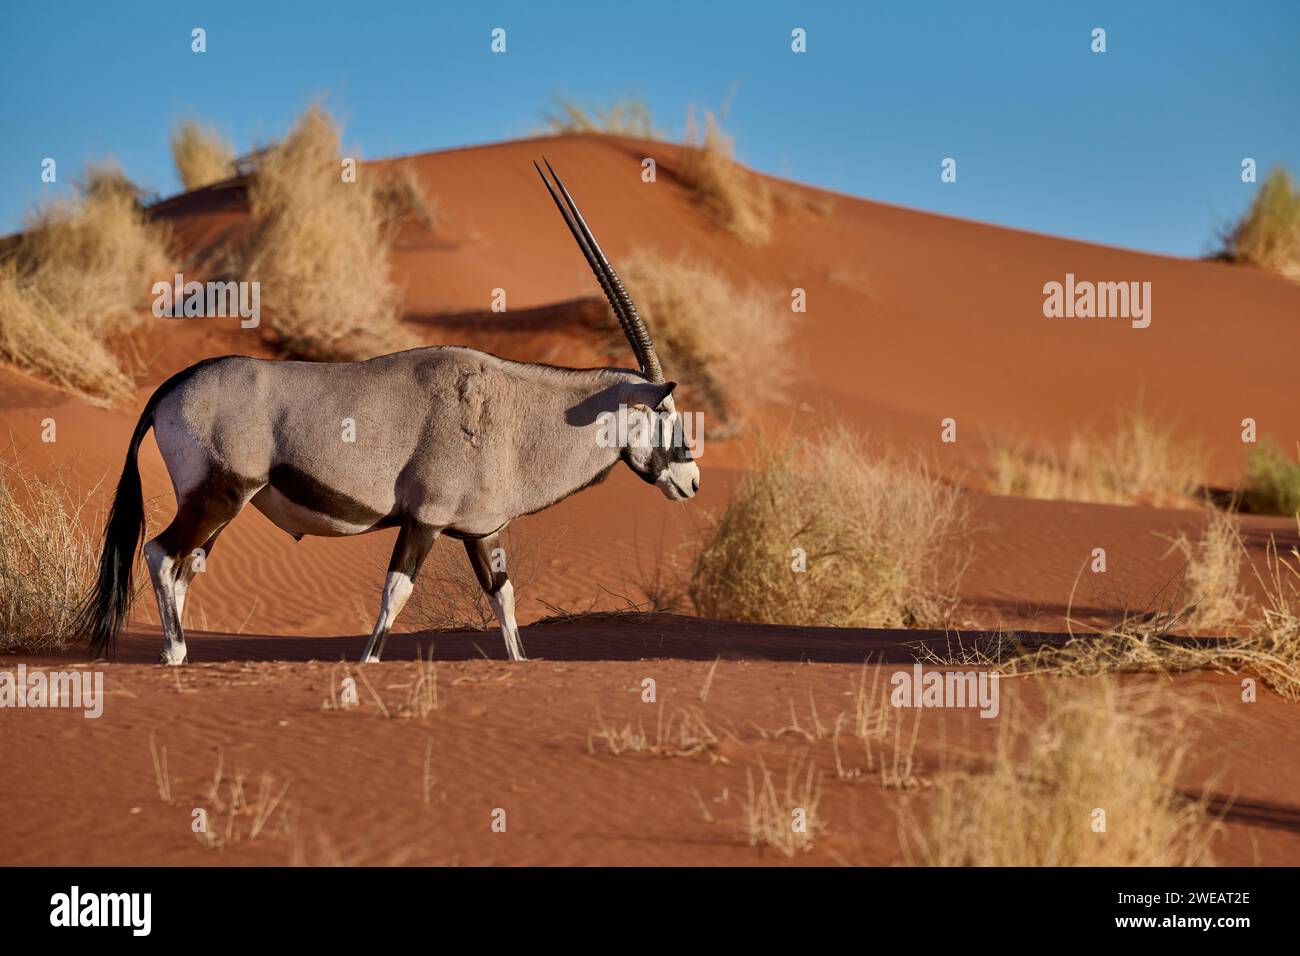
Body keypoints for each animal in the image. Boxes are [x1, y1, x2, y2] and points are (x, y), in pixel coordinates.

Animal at [77, 161, 700, 665]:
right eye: (666, 410)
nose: (692, 481)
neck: (514, 415)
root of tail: (170, 388)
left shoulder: (482, 530)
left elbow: (504, 600)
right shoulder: (425, 519)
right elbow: (396, 592)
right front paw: (368, 664)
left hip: (222, 505)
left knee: (186, 566)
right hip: (219, 494)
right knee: (163, 554)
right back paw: (175, 654)